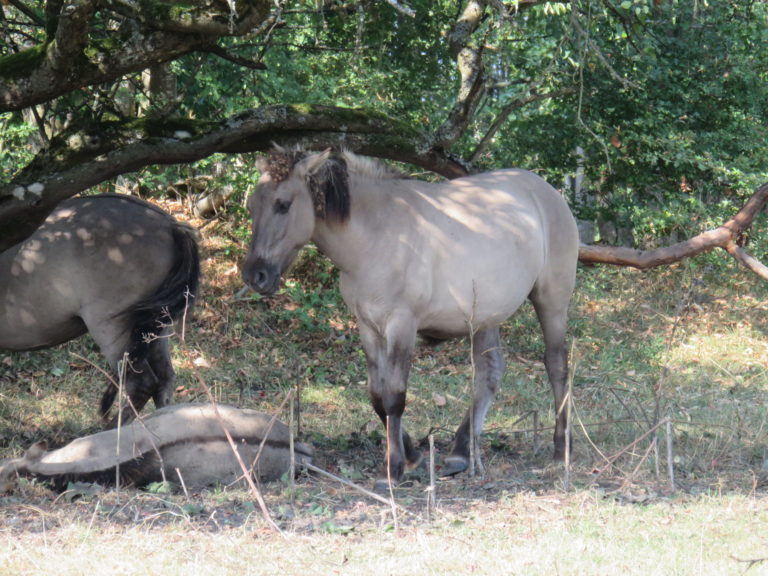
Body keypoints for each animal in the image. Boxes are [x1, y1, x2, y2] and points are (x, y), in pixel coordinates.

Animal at [242, 148, 579, 489]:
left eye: (283, 204)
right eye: (252, 205)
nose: (256, 275)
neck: (375, 238)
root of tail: (547, 192)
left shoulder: (401, 325)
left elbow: (394, 397)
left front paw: (391, 470)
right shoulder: (368, 327)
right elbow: (377, 396)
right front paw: (412, 455)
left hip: (551, 301)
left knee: (556, 365)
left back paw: (560, 449)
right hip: (484, 316)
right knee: (490, 372)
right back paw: (461, 453)